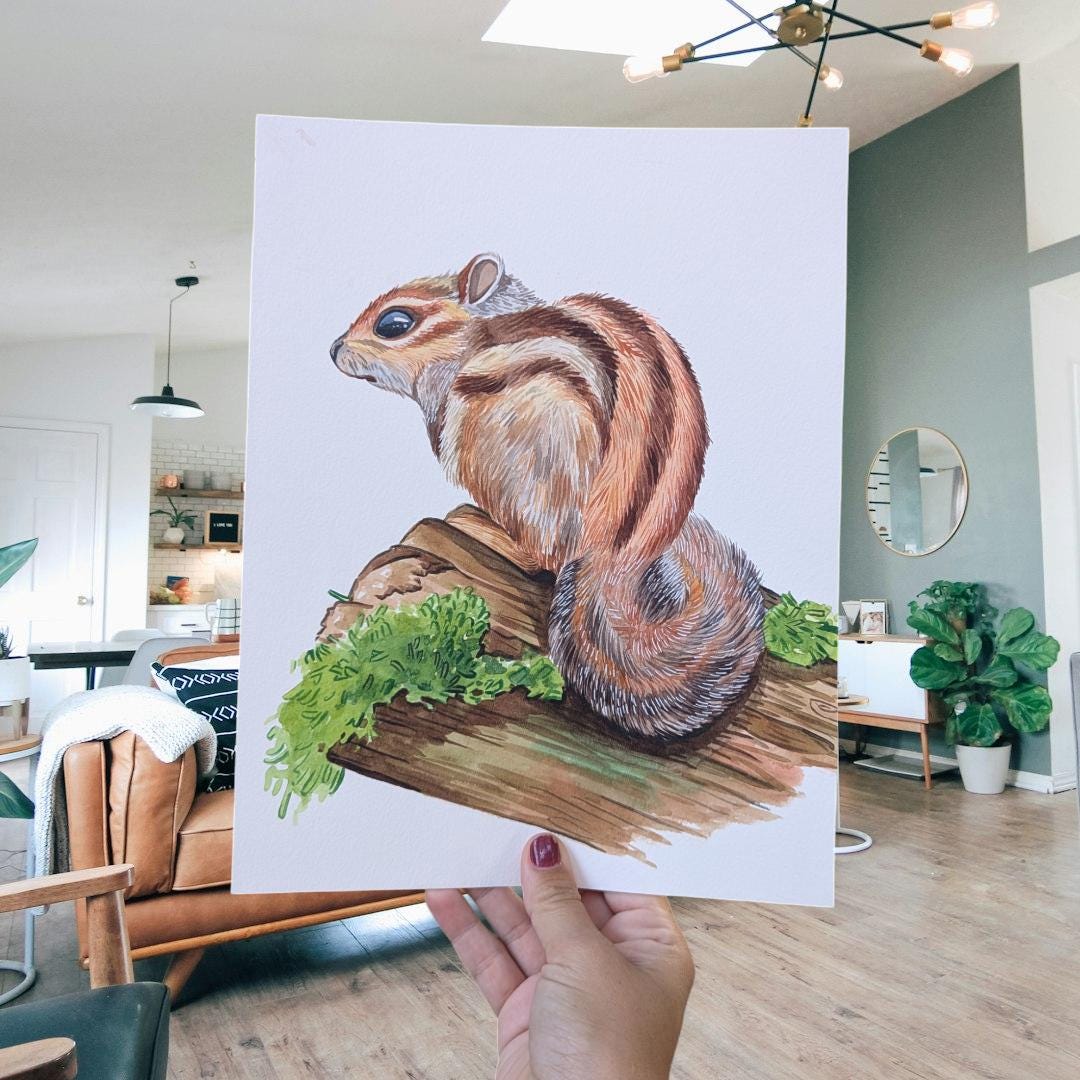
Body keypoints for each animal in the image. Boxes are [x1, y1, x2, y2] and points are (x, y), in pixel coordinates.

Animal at [330, 253, 764, 740]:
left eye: (394, 323)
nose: (333, 348)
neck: (477, 338)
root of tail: (613, 550)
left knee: (540, 555)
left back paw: (478, 525)